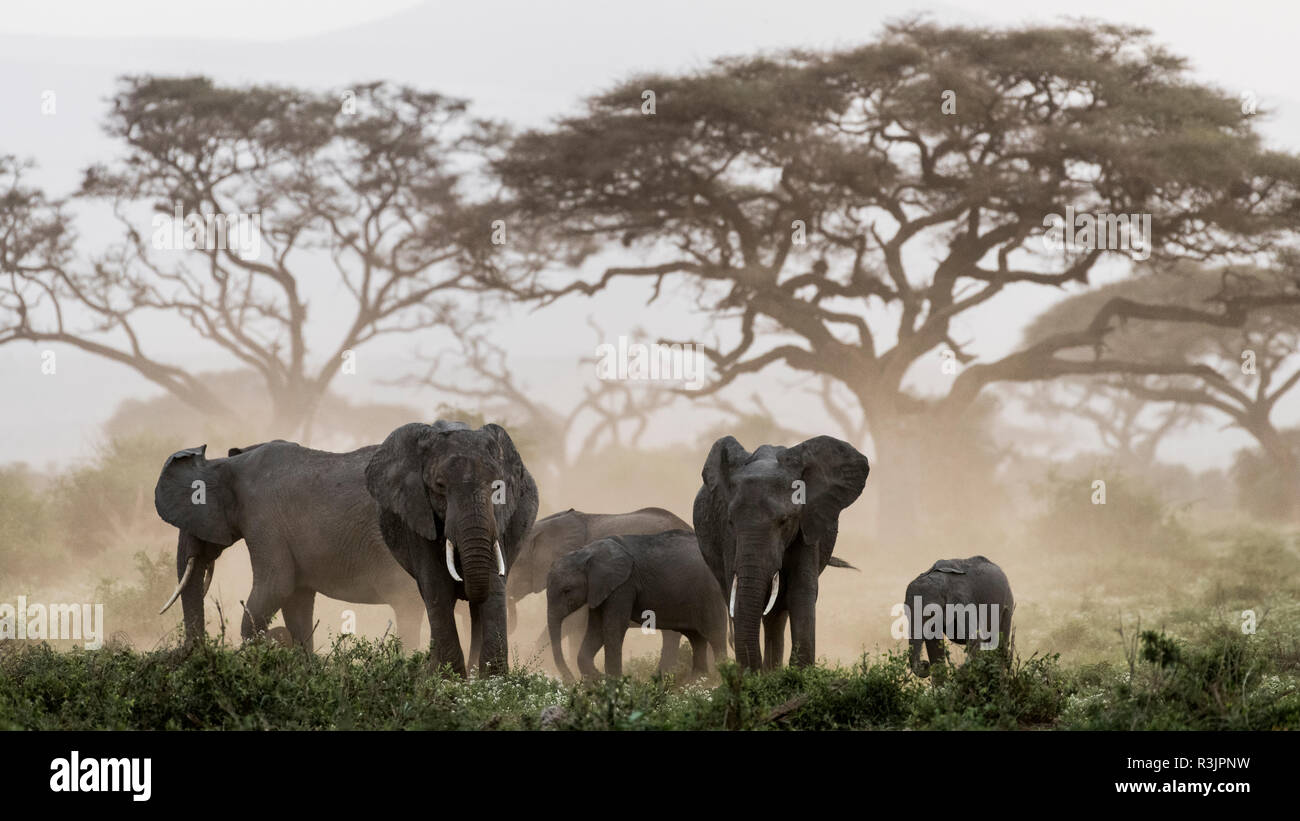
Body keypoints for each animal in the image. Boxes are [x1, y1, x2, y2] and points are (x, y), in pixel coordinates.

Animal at [364, 420, 538, 677]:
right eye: (439, 486)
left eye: (498, 487)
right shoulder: (418, 516)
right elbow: (437, 589)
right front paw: (449, 679)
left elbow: (493, 587)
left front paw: (492, 679)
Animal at [545, 530, 727, 680]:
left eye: (567, 590)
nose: (571, 682)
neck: (587, 552)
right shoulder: (600, 589)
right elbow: (596, 630)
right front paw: (598, 679)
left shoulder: (623, 585)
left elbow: (613, 628)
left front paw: (614, 683)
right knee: (696, 639)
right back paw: (696, 682)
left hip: (710, 593)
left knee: (716, 635)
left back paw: (718, 679)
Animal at [693, 435, 870, 671]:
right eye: (731, 521)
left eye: (784, 520)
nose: (753, 673)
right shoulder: (728, 538)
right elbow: (736, 591)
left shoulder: (808, 523)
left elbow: (801, 591)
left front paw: (799, 675)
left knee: (776, 612)